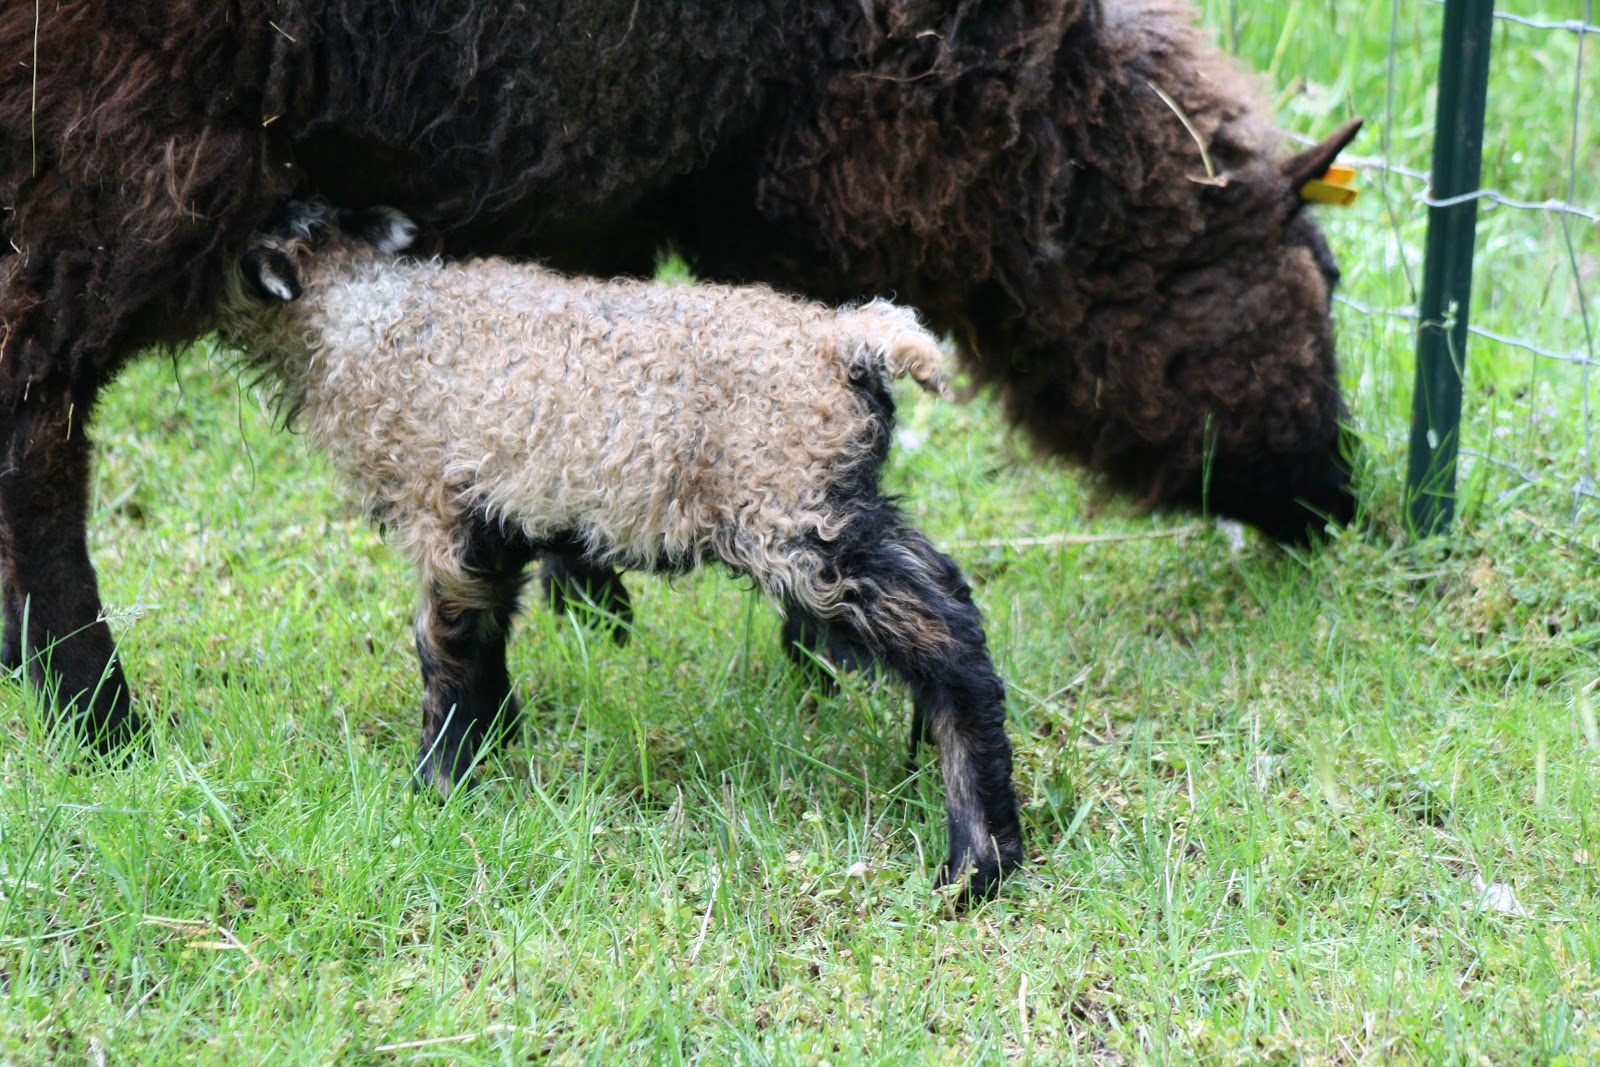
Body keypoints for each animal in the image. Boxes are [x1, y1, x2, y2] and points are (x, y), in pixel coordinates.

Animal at [0, 0, 1360, 750]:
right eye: (1318, 275)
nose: (1334, 505)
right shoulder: (800, 198)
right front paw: (805, 652)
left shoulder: (585, 182)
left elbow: (581, 352)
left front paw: (584, 587)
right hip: (100, 156)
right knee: (36, 443)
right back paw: (97, 713)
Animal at [216, 199, 1026, 899]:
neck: (368, 320)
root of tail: (849, 339)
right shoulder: (496, 515)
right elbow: (486, 635)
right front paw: (495, 741)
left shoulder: (440, 510)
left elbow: (443, 650)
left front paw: (436, 784)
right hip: (833, 506)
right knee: (944, 584)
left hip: (793, 515)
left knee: (946, 636)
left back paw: (978, 861)